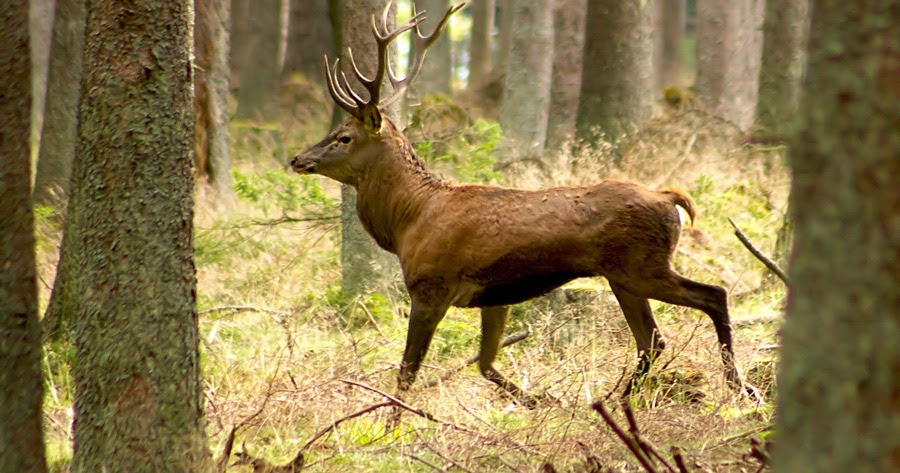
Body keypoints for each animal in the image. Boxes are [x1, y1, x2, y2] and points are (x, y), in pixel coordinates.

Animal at [290, 1, 758, 408]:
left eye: (344, 137)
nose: (296, 159)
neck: (409, 221)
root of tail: (668, 199)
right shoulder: (494, 297)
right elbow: (486, 364)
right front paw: (543, 401)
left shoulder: (430, 287)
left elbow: (407, 371)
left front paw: (392, 422)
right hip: (623, 276)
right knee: (652, 340)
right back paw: (615, 401)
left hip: (642, 266)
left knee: (713, 296)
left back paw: (738, 387)